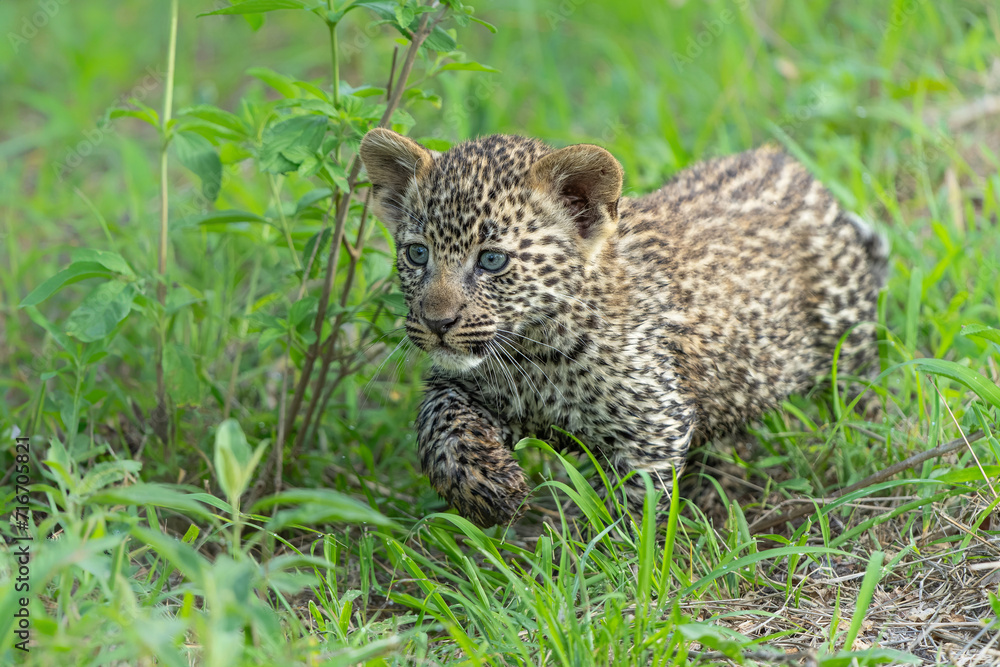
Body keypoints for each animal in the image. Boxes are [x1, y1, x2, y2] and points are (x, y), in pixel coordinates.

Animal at [359, 127, 888, 528]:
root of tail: (794, 170)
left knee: (859, 397)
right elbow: (440, 424)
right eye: (417, 254)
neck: (538, 352)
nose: (437, 323)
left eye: (492, 260)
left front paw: (603, 569)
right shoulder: (463, 383)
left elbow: (627, 504)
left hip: (847, 344)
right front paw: (490, 489)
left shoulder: (651, 427)